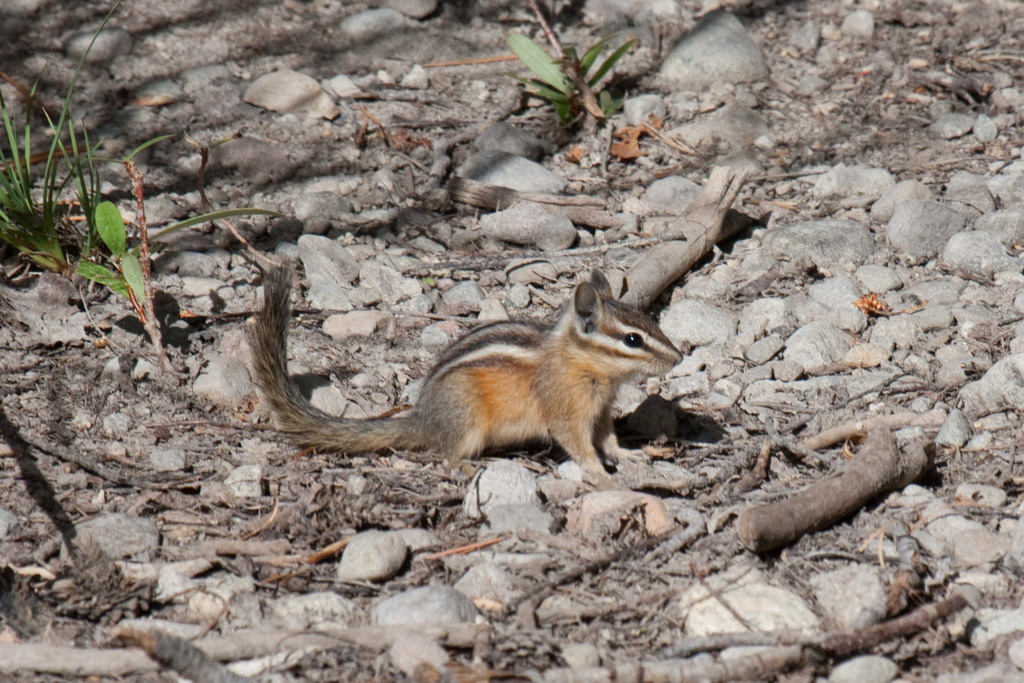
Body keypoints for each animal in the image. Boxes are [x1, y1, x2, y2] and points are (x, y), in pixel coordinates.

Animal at [248, 266, 682, 483]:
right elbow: (579, 444)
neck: (581, 362)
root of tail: (422, 420)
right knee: (445, 456)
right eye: (632, 339)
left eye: (649, 321)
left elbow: (607, 438)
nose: (679, 358)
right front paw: (598, 472)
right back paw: (473, 465)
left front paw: (630, 454)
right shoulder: (566, 410)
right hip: (467, 416)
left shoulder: (601, 409)